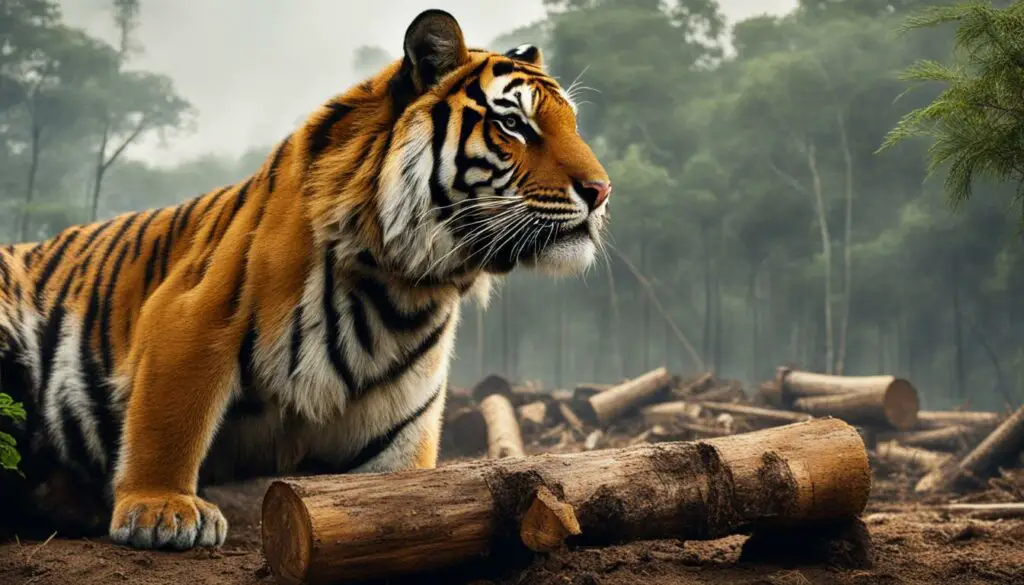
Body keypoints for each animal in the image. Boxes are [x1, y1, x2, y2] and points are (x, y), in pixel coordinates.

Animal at [0, 9, 611, 550]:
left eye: (573, 124)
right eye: (514, 124)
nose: (601, 190)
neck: (401, 287)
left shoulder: (400, 426)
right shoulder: (189, 314)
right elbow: (168, 421)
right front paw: (161, 509)